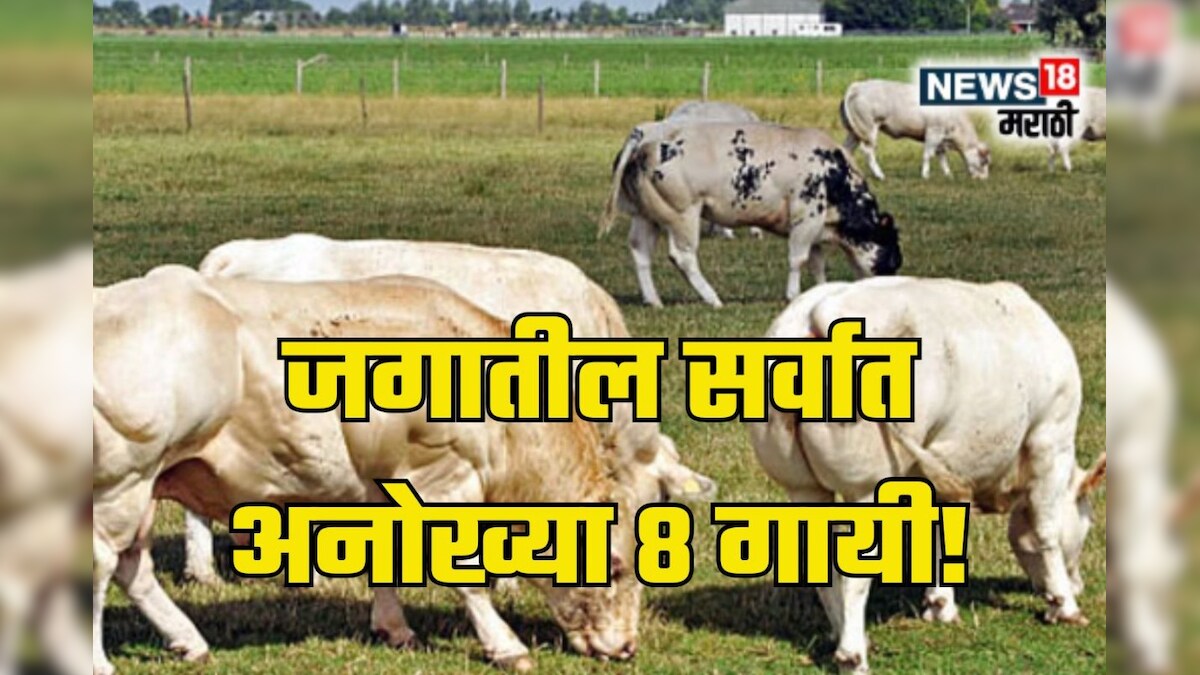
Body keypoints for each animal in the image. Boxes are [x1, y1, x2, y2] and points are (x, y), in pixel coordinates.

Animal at [93, 268, 642, 675]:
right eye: (614, 567)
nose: (627, 648)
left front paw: (394, 627)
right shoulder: (441, 482)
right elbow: (468, 578)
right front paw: (505, 645)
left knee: (133, 568)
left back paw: (188, 640)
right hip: (122, 484)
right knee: (102, 565)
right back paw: (98, 661)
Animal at [600, 123, 902, 308]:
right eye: (893, 257)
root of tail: (648, 132)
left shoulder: (816, 228)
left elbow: (817, 264)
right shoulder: (805, 217)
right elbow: (798, 259)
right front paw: (793, 295)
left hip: (646, 215)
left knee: (640, 252)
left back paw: (653, 299)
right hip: (683, 214)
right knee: (683, 257)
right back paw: (712, 298)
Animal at [746, 277, 1103, 673]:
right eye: (1087, 523)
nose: (1079, 583)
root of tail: (817, 312)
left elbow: (937, 535)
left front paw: (940, 605)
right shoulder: (1050, 439)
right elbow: (1046, 531)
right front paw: (1064, 604)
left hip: (801, 483)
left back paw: (846, 636)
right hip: (864, 485)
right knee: (853, 574)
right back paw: (852, 654)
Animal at [840, 79, 991, 181]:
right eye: (984, 161)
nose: (984, 179)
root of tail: (858, 86)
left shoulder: (941, 139)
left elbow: (942, 157)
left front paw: (948, 175)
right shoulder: (933, 132)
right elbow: (928, 155)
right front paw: (925, 175)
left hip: (855, 132)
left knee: (846, 149)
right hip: (869, 129)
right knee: (868, 151)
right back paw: (880, 175)